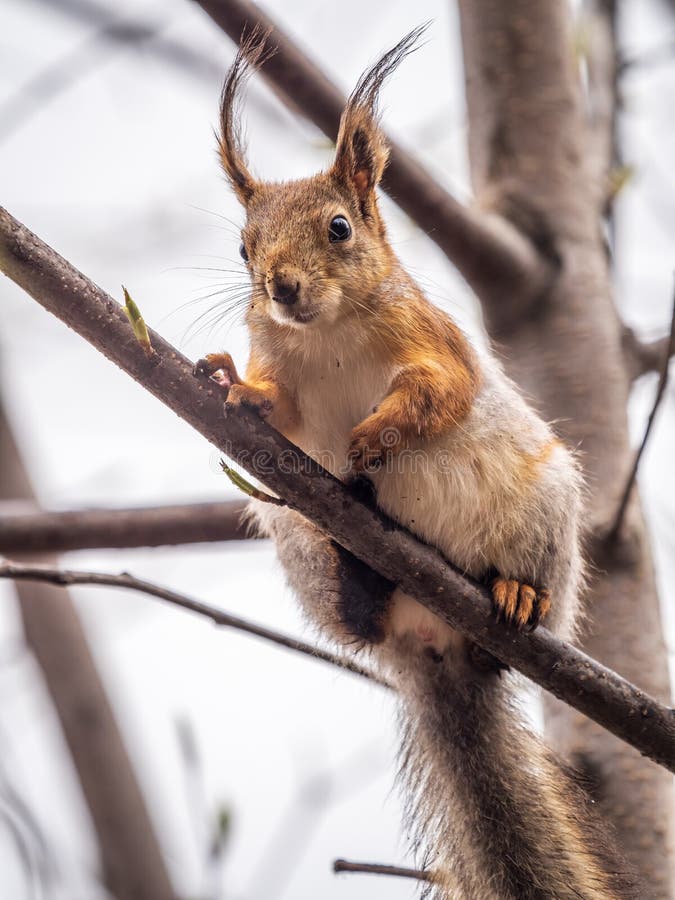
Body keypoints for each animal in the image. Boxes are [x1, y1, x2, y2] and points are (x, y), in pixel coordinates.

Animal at [195, 28, 638, 900]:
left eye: (339, 228)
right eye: (242, 246)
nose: (279, 288)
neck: (327, 333)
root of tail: (429, 643)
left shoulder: (435, 344)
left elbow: (438, 396)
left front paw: (377, 435)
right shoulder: (286, 372)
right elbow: (280, 408)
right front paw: (234, 386)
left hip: (546, 518)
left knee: (517, 606)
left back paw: (513, 594)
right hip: (299, 549)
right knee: (356, 613)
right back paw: (362, 580)